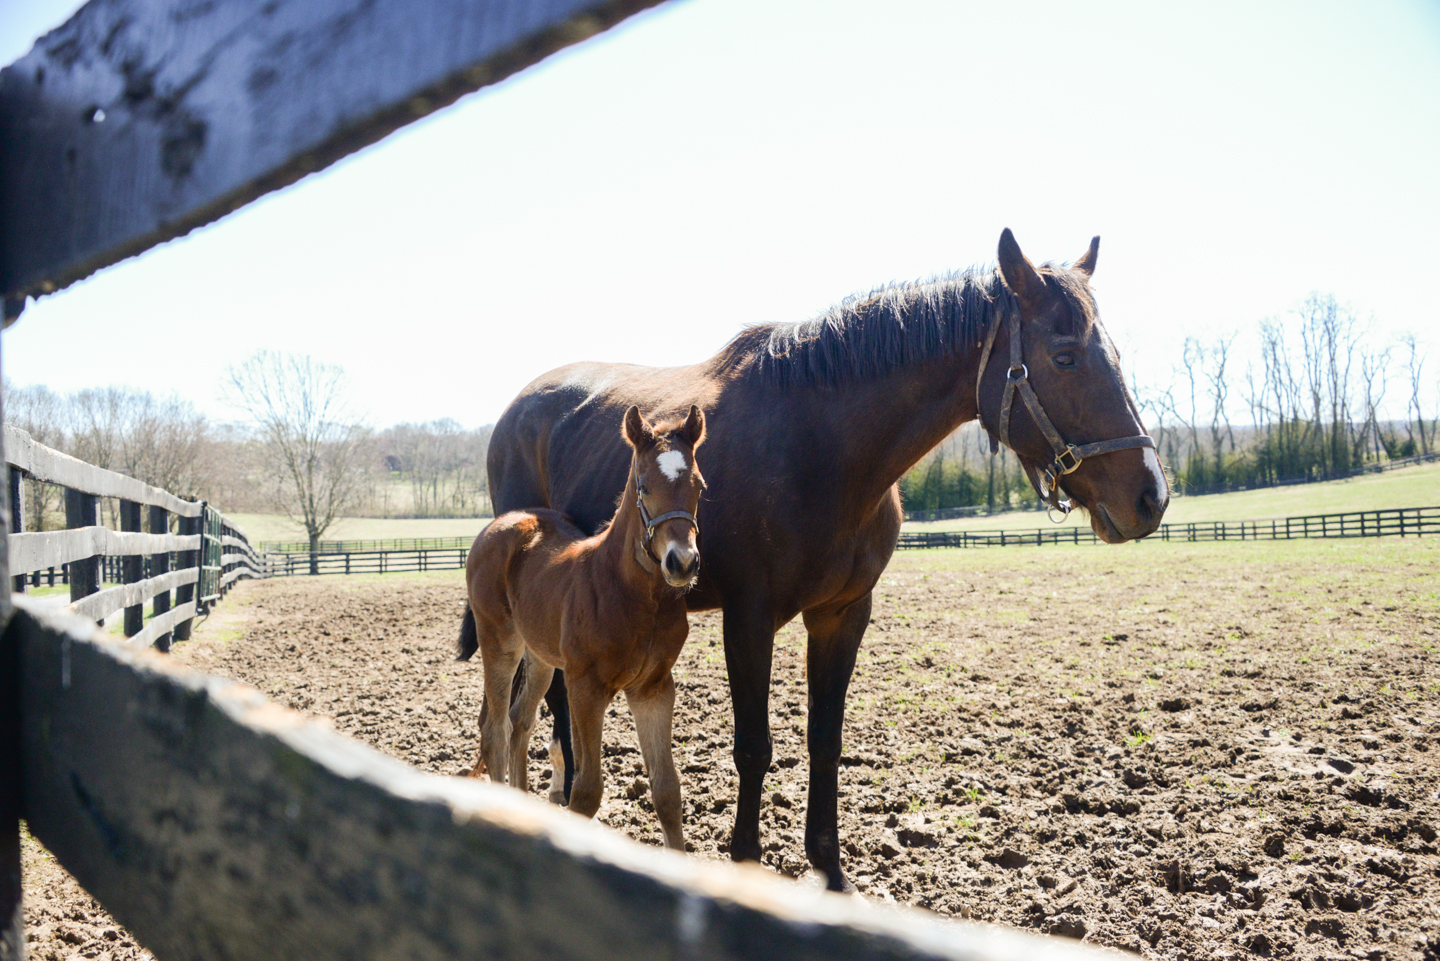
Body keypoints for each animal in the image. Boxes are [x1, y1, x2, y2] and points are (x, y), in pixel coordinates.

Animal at [457, 405, 706, 850]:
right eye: (644, 487)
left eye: (698, 486)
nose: (682, 562)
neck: (636, 595)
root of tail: (499, 524)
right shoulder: (585, 686)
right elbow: (587, 792)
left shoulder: (654, 688)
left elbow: (667, 790)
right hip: (499, 640)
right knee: (495, 729)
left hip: (540, 655)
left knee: (520, 722)